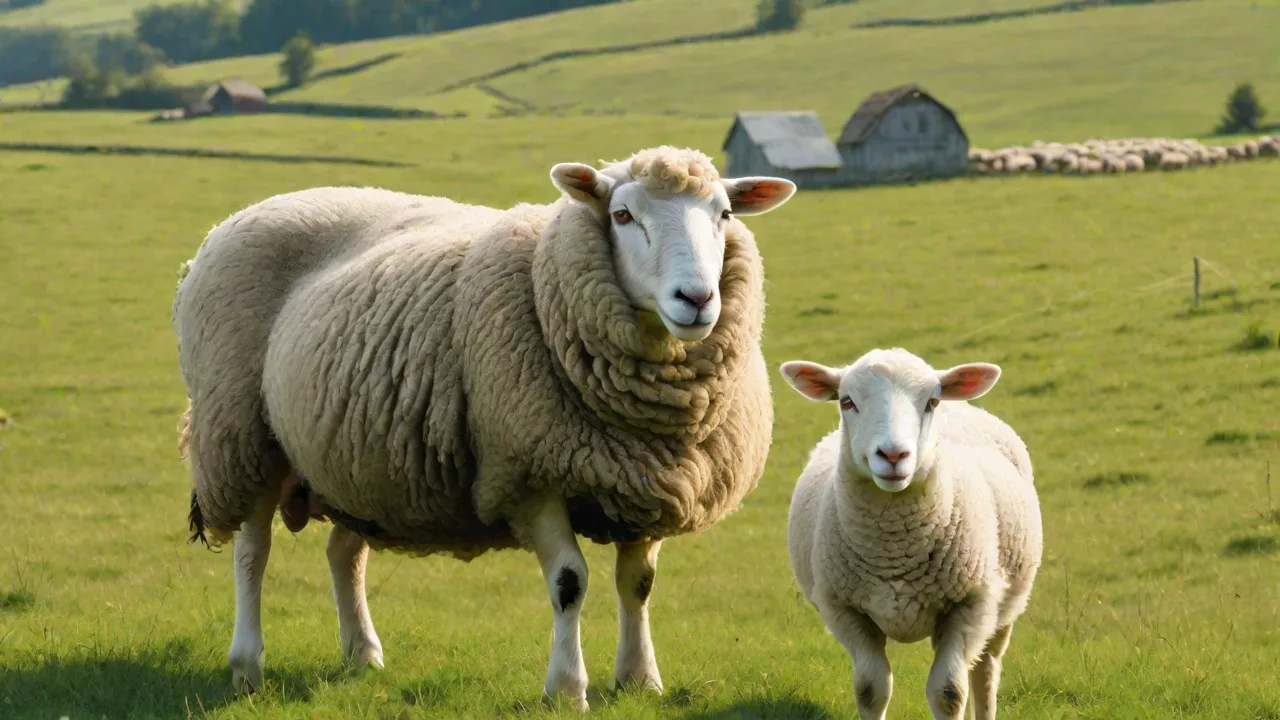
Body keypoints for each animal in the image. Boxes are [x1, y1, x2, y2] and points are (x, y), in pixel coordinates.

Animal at [173, 145, 797, 708]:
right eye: (622, 215)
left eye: (725, 214)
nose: (696, 298)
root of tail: (242, 215)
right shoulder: (527, 474)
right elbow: (570, 582)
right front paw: (566, 689)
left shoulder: (646, 482)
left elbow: (637, 586)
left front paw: (640, 680)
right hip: (240, 435)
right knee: (252, 553)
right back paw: (247, 667)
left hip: (357, 456)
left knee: (343, 553)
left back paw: (362, 654)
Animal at [779, 348, 1042, 720]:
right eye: (847, 401)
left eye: (931, 402)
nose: (893, 455)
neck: (895, 546)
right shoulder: (844, 610)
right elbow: (871, 690)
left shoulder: (969, 605)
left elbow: (949, 693)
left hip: (1005, 605)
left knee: (985, 670)